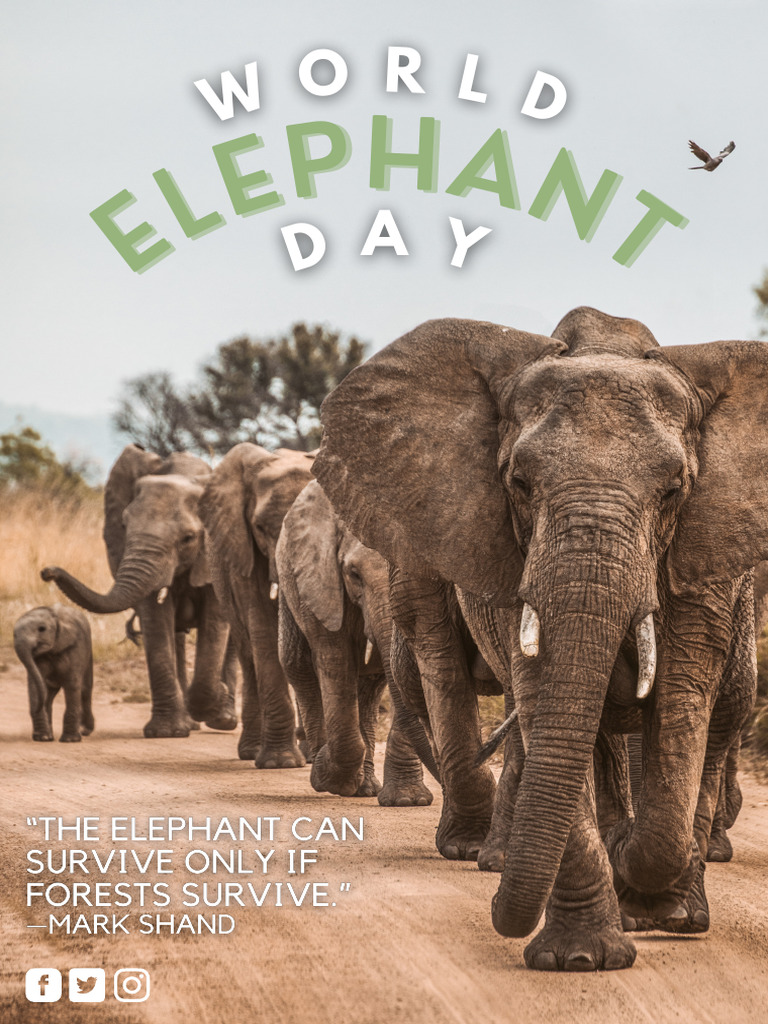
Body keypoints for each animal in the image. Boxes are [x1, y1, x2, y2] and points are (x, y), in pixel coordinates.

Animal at [14, 604, 94, 742]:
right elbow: (35, 684)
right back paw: (49, 736)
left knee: (85, 689)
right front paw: (42, 738)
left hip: (89, 653)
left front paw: (70, 740)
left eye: (42, 629)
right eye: (14, 634)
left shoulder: (76, 647)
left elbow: (72, 683)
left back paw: (85, 731)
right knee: (49, 694)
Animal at [41, 445, 234, 739]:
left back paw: (224, 720)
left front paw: (216, 701)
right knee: (176, 636)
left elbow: (215, 621)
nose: (46, 572)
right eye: (123, 526)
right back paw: (191, 722)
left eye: (188, 538)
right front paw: (167, 733)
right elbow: (155, 621)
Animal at [197, 443, 314, 765]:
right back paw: (252, 751)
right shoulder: (242, 548)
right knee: (248, 654)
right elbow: (263, 628)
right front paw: (280, 762)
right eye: (260, 527)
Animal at [276, 479, 439, 802]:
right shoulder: (322, 579)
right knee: (298, 665)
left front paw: (408, 801)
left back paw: (364, 788)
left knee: (370, 686)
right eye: (354, 574)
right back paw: (321, 765)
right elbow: (335, 660)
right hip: (291, 584)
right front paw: (328, 778)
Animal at [314, 308, 763, 972]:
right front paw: (581, 958)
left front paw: (648, 892)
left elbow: (682, 704)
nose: (499, 912)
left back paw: (674, 909)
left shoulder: (703, 556)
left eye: (674, 491)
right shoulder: (507, 557)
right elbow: (542, 698)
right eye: (519, 484)